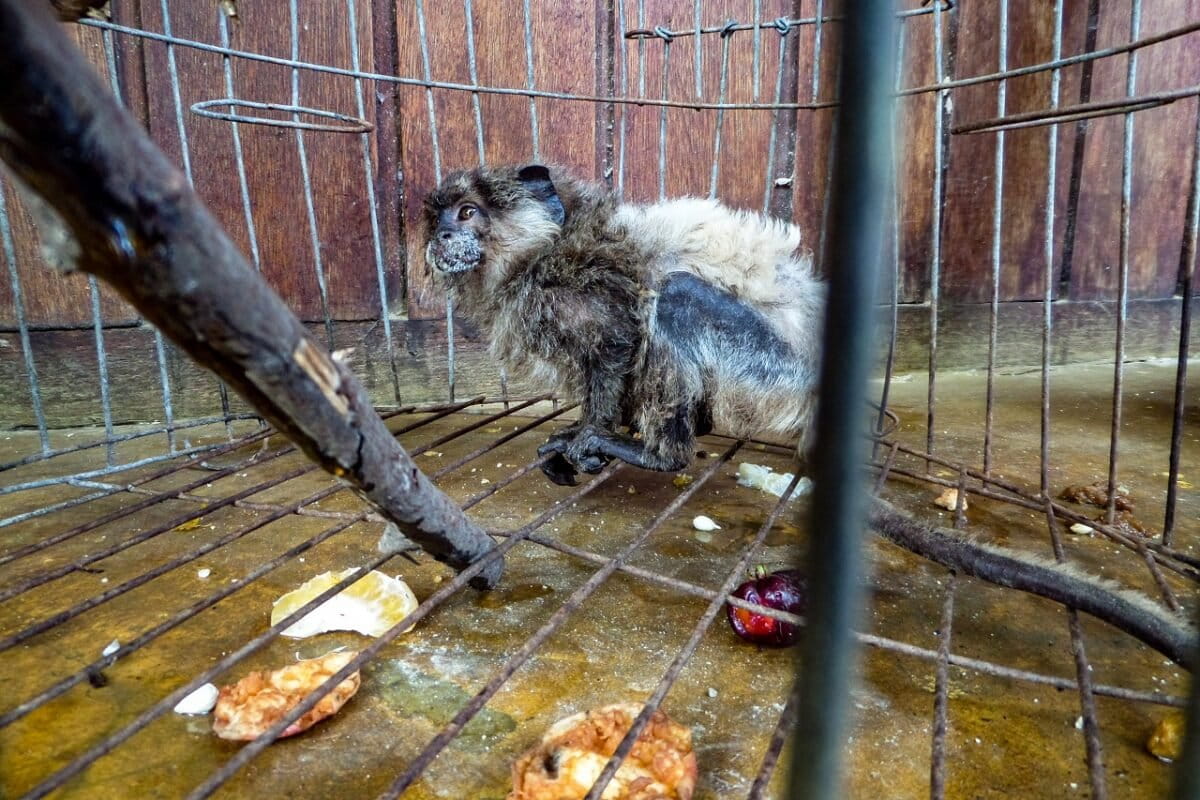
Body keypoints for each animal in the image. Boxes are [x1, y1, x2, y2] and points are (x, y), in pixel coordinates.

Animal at [422, 164, 1196, 669]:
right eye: (436, 216)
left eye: (468, 214)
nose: (439, 241)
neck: (537, 248)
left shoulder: (580, 286)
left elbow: (614, 345)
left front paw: (590, 437)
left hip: (767, 369)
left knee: (676, 300)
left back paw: (658, 452)